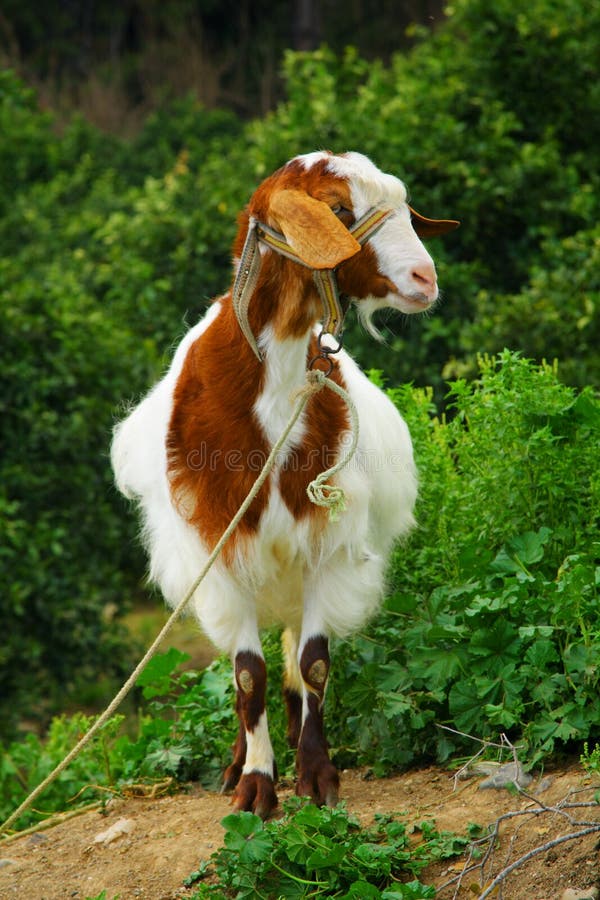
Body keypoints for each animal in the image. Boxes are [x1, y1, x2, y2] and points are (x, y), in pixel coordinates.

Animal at [111, 151, 458, 818]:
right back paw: (234, 765)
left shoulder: (327, 543)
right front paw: (255, 783)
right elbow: (248, 676)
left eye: (404, 206)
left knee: (296, 665)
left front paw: (316, 774)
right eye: (340, 209)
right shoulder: (219, 550)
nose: (424, 279)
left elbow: (314, 666)